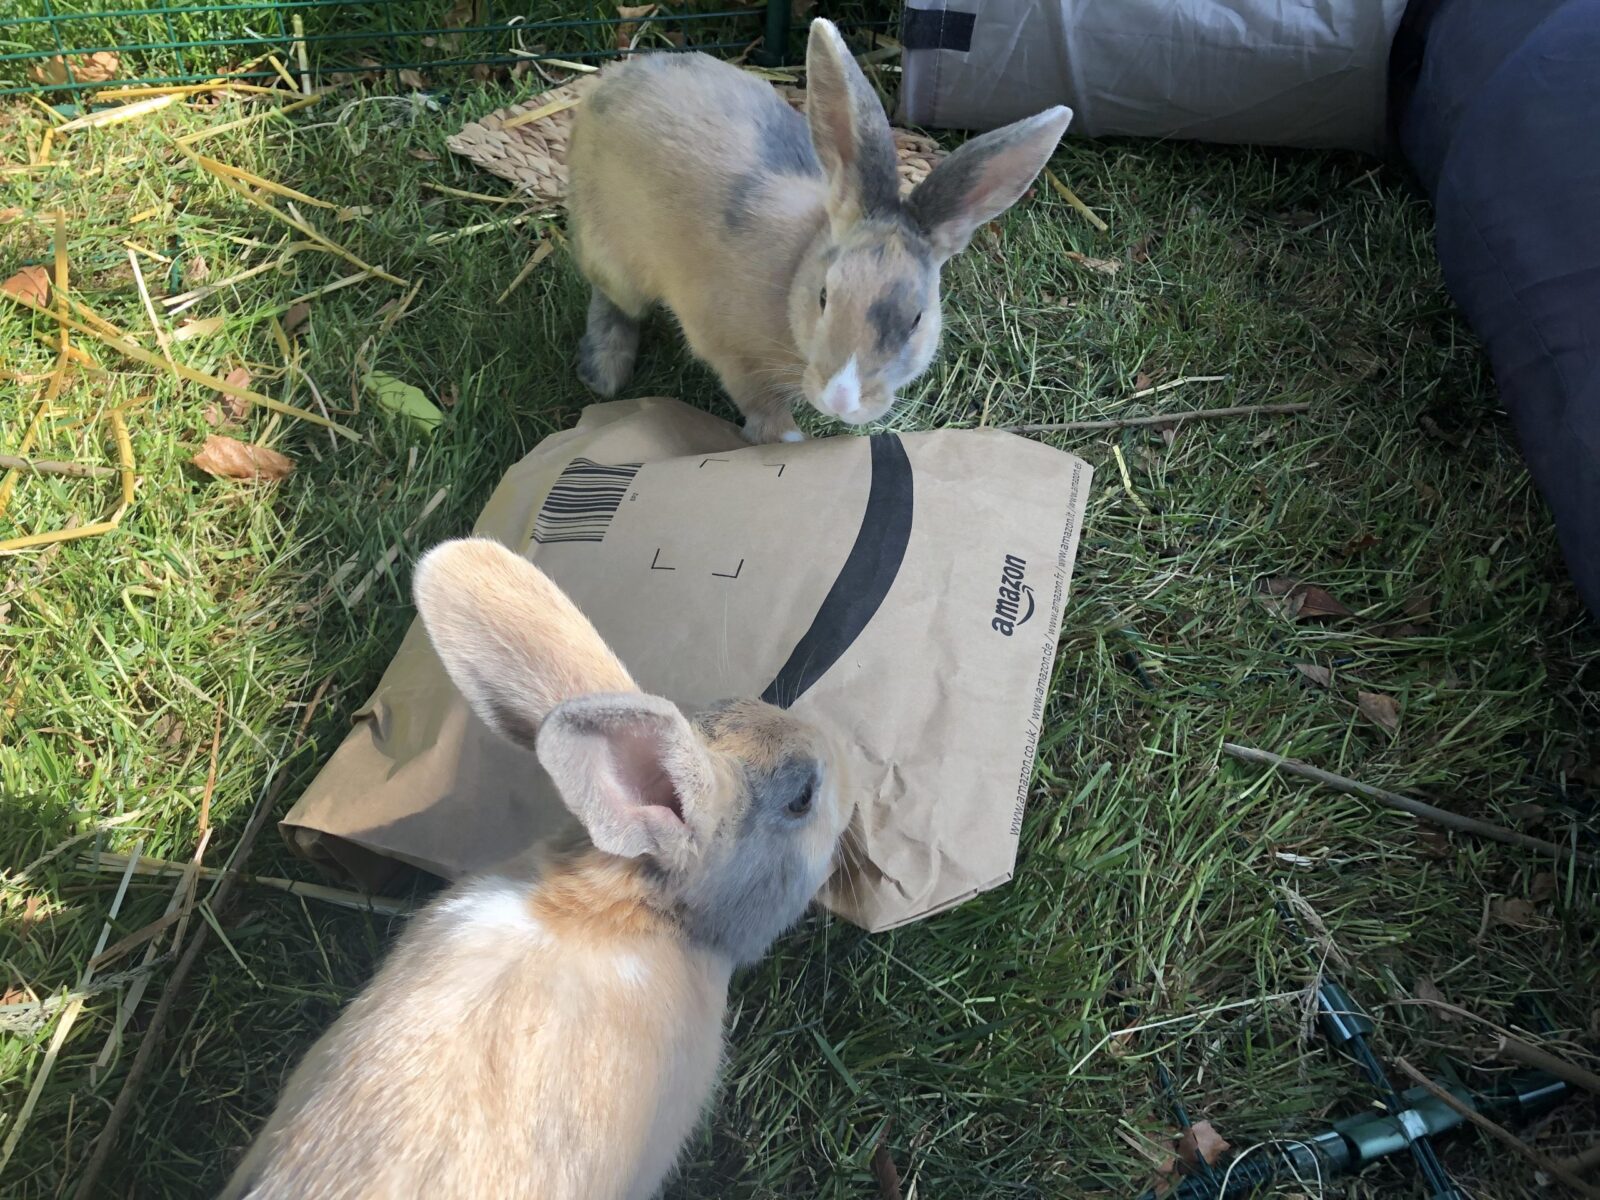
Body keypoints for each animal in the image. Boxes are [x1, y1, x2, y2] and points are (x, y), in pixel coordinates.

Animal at [566, 17, 1073, 444]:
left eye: (916, 319)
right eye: (825, 296)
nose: (841, 400)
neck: (793, 274)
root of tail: (613, 80)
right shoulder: (731, 356)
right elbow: (762, 408)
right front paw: (790, 441)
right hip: (613, 256)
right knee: (610, 298)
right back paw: (604, 371)